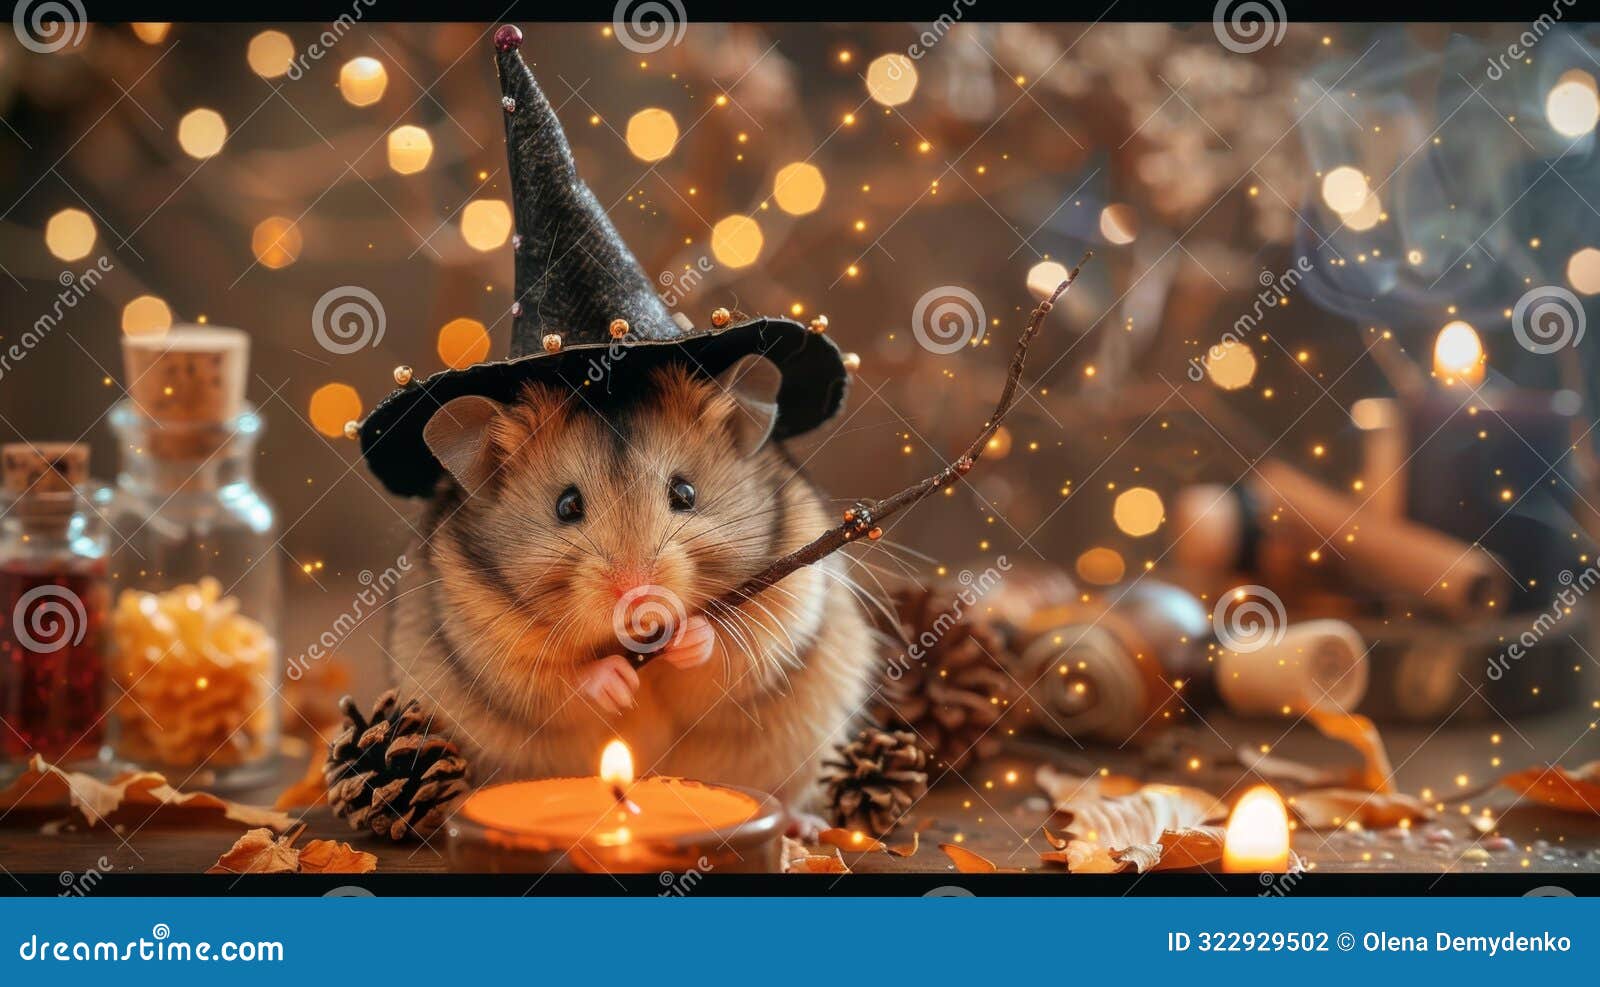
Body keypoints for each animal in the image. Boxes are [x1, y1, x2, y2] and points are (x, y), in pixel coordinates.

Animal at [384, 354, 877, 817]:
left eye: (685, 493)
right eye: (566, 505)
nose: (639, 597)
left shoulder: (787, 602)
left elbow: (729, 653)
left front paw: (690, 638)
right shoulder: (482, 637)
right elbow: (552, 681)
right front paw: (616, 681)